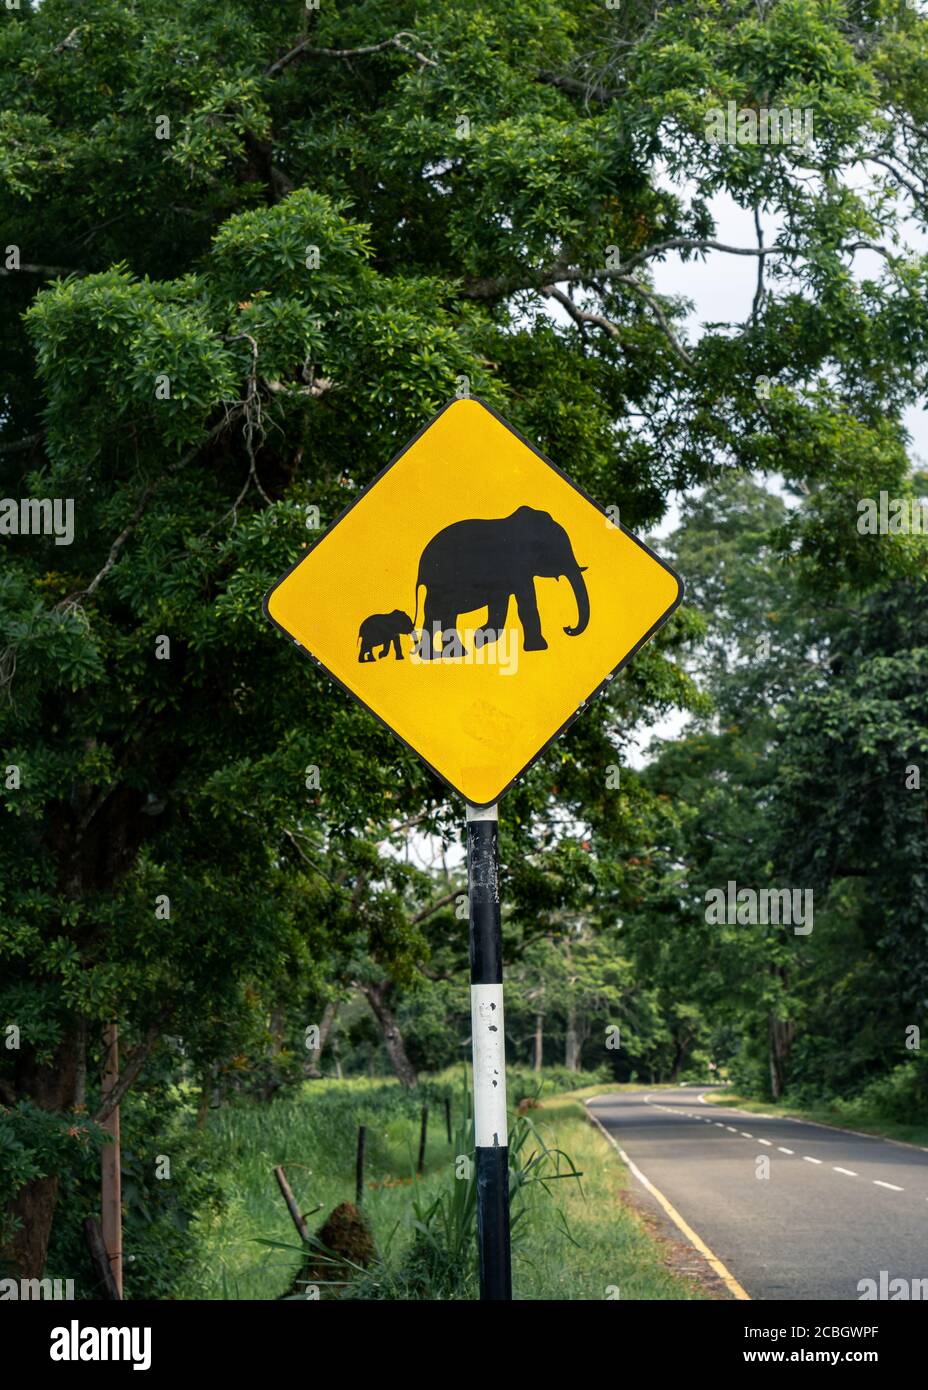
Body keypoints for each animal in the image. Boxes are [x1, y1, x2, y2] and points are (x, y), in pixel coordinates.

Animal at [413, 506, 589, 659]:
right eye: (555, 549)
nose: (567, 628)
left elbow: (499, 605)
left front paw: (480, 638)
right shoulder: (517, 566)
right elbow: (526, 602)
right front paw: (538, 647)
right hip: (442, 586)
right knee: (440, 614)